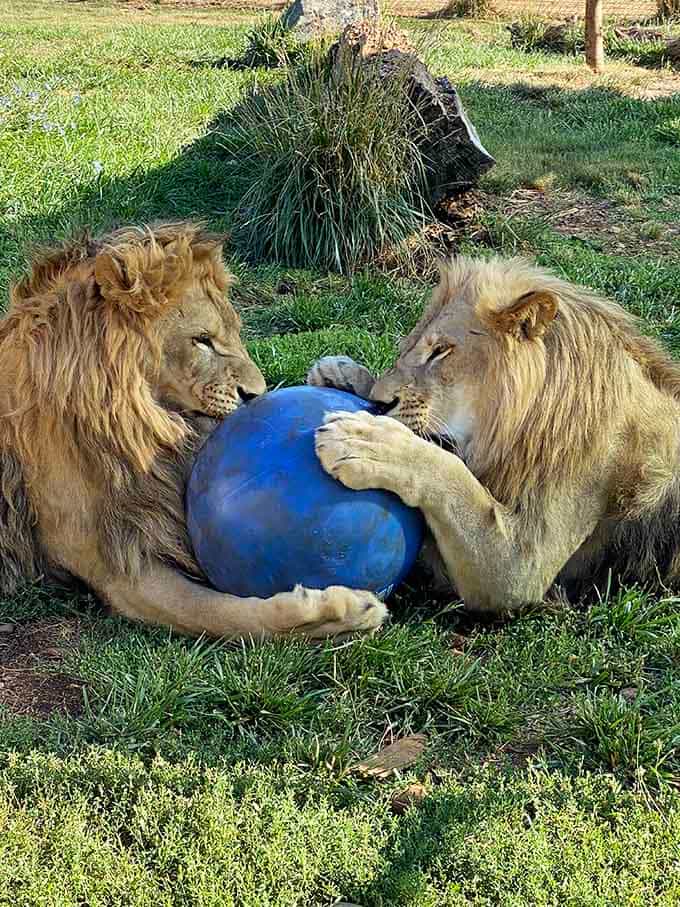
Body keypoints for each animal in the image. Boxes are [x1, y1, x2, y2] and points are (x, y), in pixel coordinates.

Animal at [0, 222, 386, 638]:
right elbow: (227, 615)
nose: (257, 393)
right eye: (202, 340)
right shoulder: (117, 569)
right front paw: (342, 610)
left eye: (235, 334)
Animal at [309, 255, 680, 614]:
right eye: (406, 348)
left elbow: (451, 475)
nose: (380, 401)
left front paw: (368, 441)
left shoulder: (521, 566)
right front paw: (340, 374)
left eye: (441, 350)